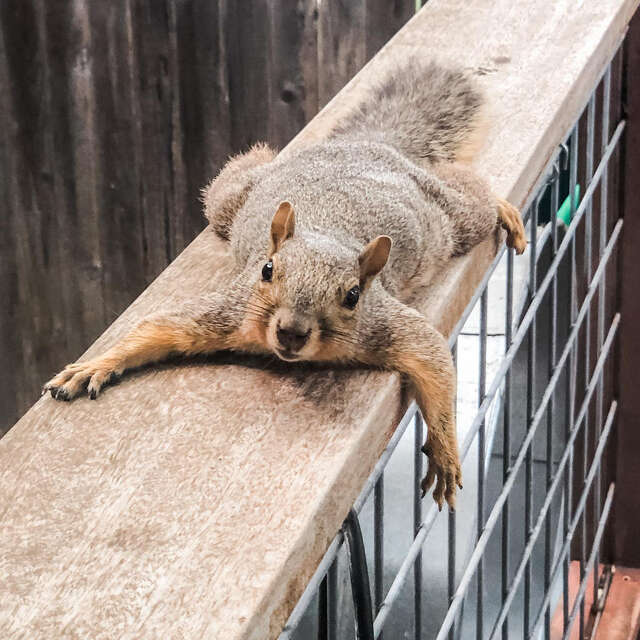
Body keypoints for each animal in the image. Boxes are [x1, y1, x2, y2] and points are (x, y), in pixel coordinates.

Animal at [43, 59, 526, 510]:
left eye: (353, 295)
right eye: (268, 270)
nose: (291, 332)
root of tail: (366, 146)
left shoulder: (383, 326)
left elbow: (431, 359)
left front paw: (444, 449)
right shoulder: (230, 312)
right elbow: (158, 328)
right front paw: (94, 366)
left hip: (451, 219)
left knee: (468, 192)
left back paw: (502, 207)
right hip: (229, 202)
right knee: (238, 173)